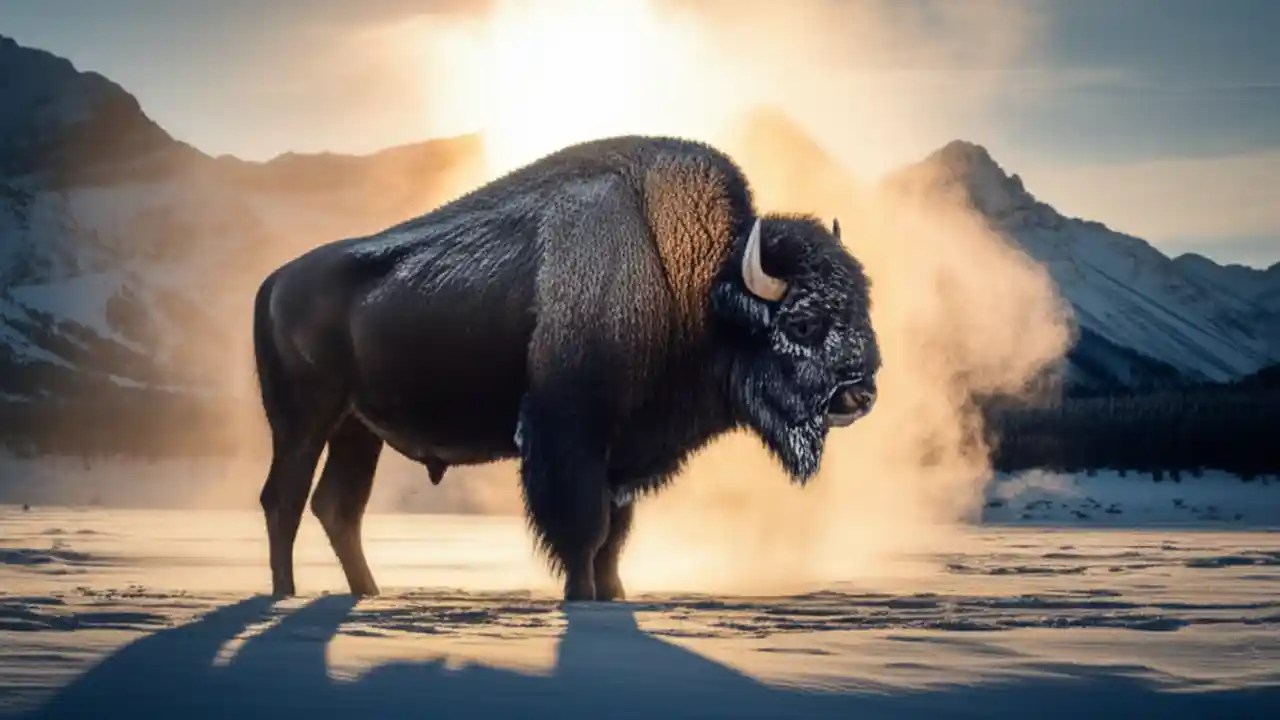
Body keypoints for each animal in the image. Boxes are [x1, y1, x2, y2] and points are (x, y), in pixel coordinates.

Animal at [254, 136, 879, 601]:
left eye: (861, 305)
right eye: (802, 324)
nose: (861, 394)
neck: (686, 281)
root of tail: (276, 280)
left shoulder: (620, 455)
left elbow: (612, 539)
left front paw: (613, 595)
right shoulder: (569, 437)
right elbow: (584, 531)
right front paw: (582, 596)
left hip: (359, 431)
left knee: (338, 508)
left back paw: (368, 594)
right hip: (304, 422)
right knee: (283, 499)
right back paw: (284, 595)